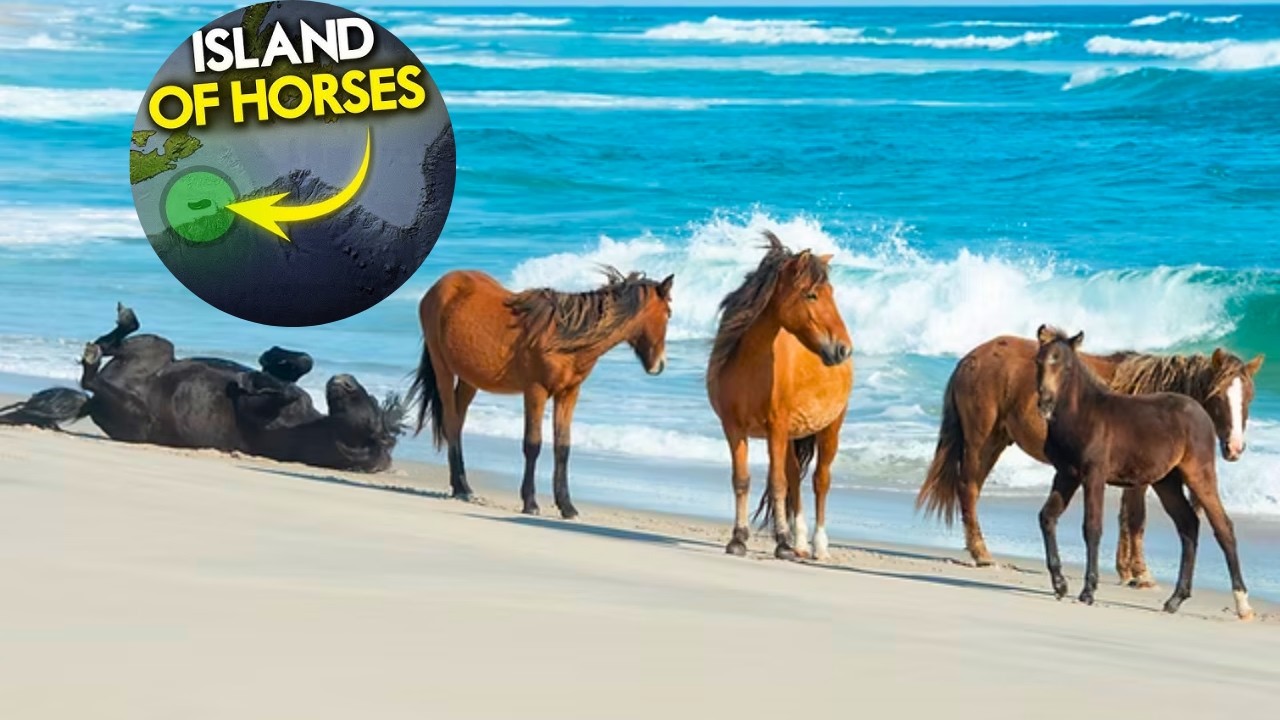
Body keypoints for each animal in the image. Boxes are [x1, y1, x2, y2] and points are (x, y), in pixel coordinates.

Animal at [409, 267, 674, 517]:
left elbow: (562, 447)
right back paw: (462, 487)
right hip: (443, 368)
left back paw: (460, 485)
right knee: (451, 421)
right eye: (668, 314)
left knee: (458, 421)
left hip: (469, 378)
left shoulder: (568, 393)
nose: (659, 365)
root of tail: (440, 285)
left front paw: (567, 507)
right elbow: (533, 444)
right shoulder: (535, 391)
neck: (564, 337)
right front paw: (530, 502)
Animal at [706, 231, 853, 561]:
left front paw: (782, 543)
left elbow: (777, 484)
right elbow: (742, 481)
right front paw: (738, 539)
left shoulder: (776, 428)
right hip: (791, 435)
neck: (751, 363)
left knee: (820, 480)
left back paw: (818, 546)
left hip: (830, 429)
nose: (843, 349)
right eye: (811, 295)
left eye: (832, 292)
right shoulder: (734, 428)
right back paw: (799, 543)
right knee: (796, 479)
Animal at [917, 334, 1262, 584]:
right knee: (969, 488)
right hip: (982, 441)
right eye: (1218, 396)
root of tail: (970, 358)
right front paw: (1141, 574)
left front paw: (1126, 570)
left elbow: (1126, 518)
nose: (1234, 447)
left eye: (1248, 397)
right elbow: (1136, 519)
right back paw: (982, 553)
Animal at [1034, 326, 1253, 620]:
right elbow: (1047, 516)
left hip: (1199, 473)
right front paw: (1059, 584)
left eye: (1067, 367)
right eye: (1039, 361)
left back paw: (1243, 604)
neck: (1082, 415)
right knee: (1188, 525)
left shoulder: (1094, 476)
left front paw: (1088, 591)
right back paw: (1175, 599)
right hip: (1167, 482)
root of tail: (1201, 412)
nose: (1045, 403)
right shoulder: (1066, 475)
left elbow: (1092, 527)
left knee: (1223, 527)